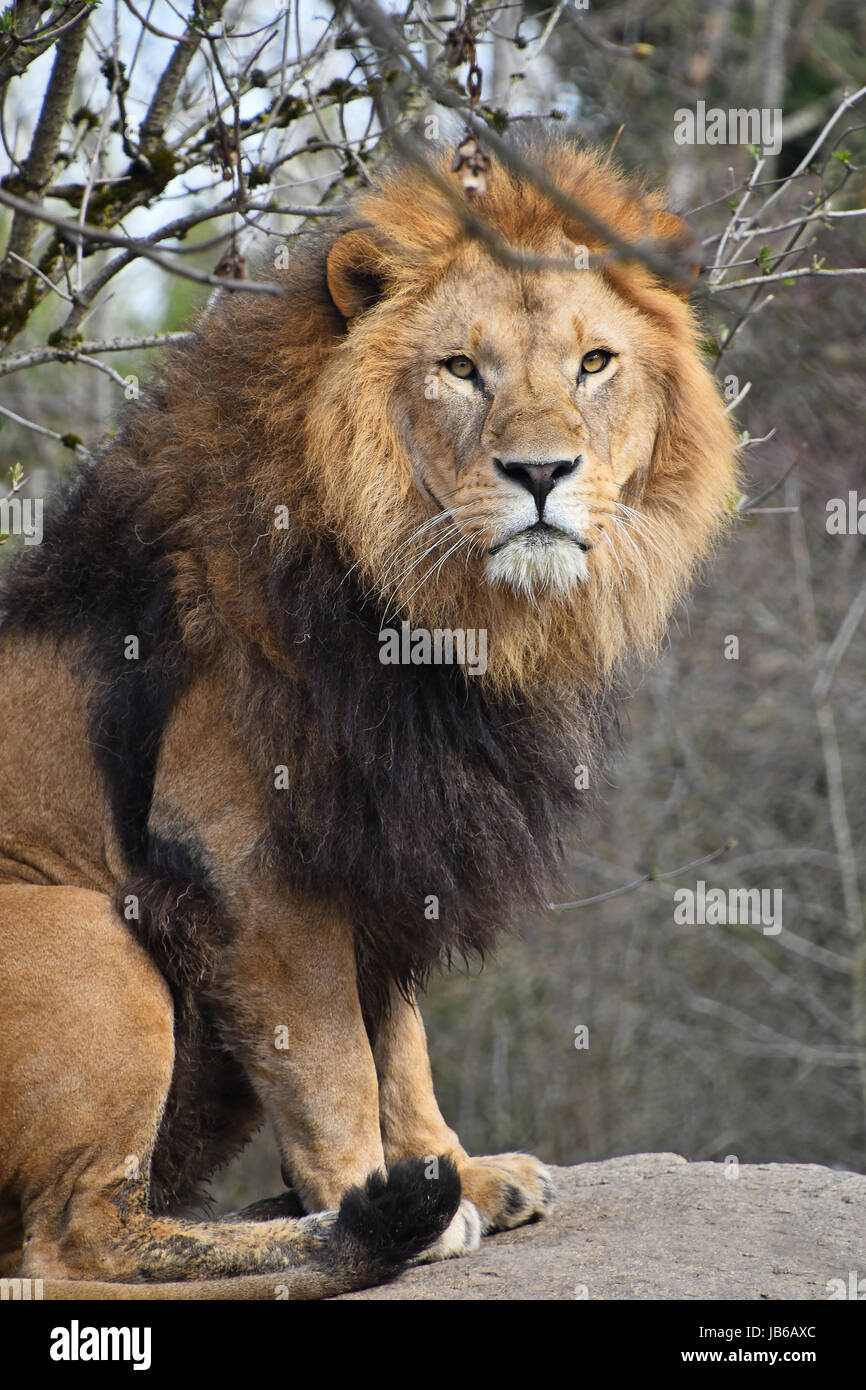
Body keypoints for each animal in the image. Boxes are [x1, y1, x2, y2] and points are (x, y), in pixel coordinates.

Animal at [0, 127, 736, 1299]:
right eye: (461, 370)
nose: (541, 471)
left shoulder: (390, 838)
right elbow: (334, 1055)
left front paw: (453, 1170)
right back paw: (345, 1234)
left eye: (594, 363)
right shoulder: (245, 852)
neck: (446, 615)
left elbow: (399, 1038)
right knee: (75, 1243)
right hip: (81, 934)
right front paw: (392, 1198)